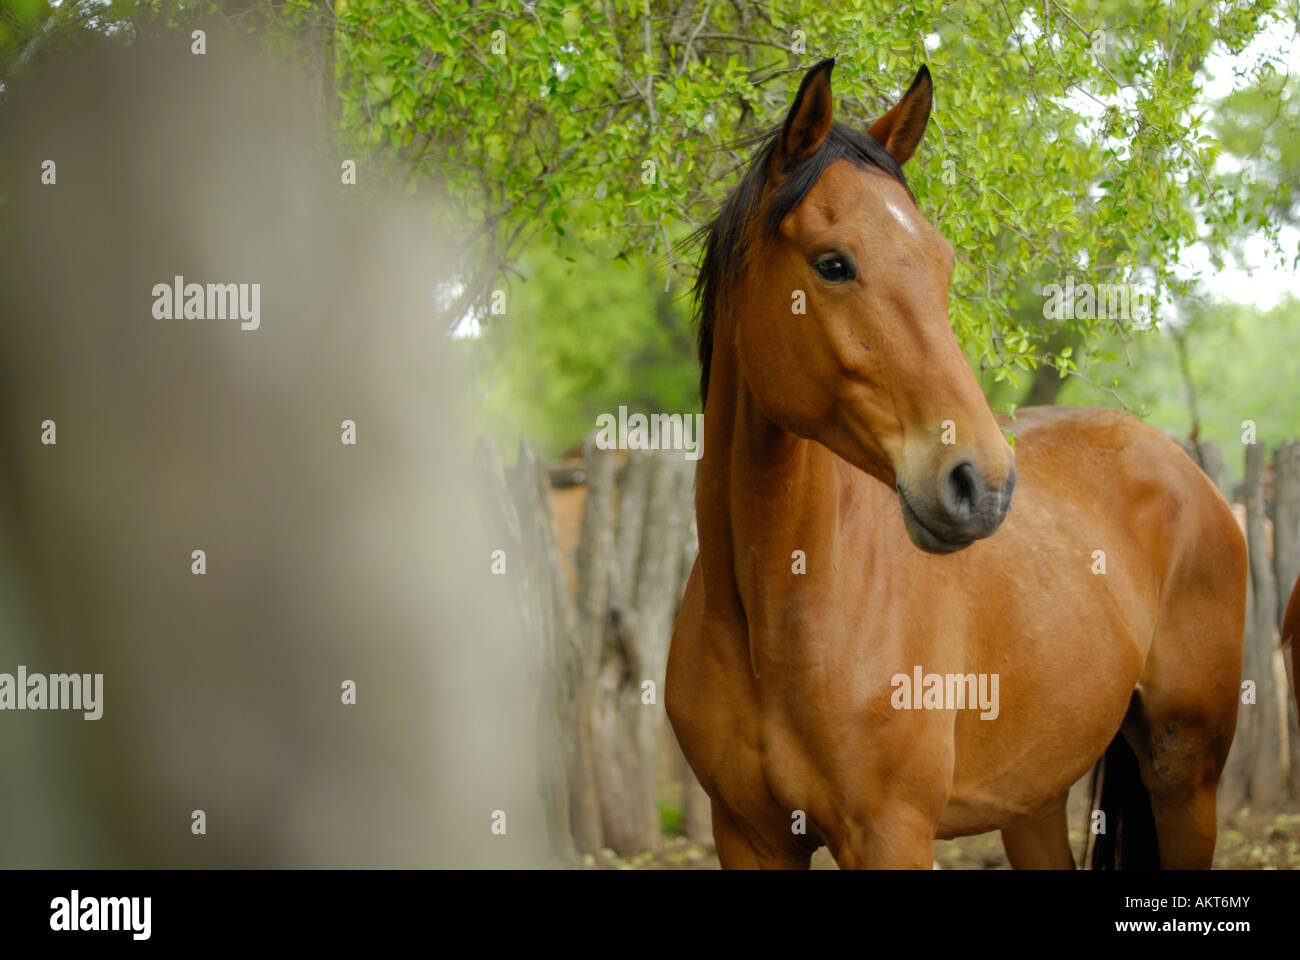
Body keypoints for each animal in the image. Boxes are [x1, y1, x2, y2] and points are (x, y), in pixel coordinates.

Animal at [665, 58, 1248, 869]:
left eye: (942, 264)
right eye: (833, 264)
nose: (983, 484)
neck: (772, 614)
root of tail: (1185, 473)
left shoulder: (891, 834)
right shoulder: (748, 837)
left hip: (1186, 778)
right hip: (1034, 802)